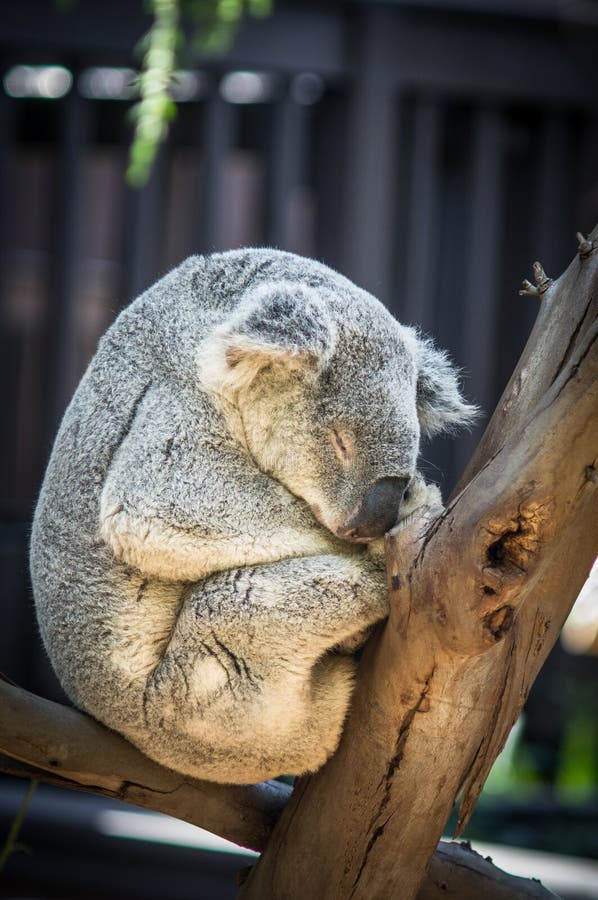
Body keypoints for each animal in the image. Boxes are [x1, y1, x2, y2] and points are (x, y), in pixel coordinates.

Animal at [30, 248, 476, 784]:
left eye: (410, 452)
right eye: (340, 442)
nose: (368, 524)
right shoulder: (173, 400)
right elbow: (153, 501)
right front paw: (398, 520)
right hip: (201, 689)